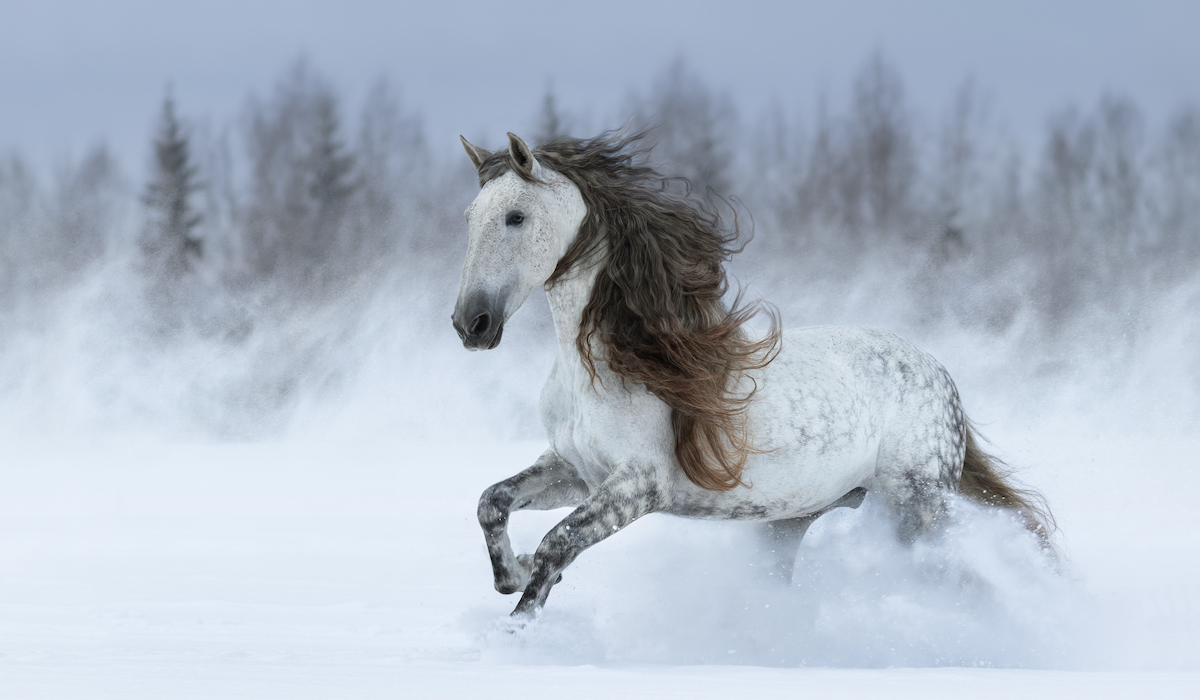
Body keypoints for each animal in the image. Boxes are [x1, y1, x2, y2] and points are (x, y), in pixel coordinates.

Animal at [451, 131, 1053, 618]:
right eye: (469, 217)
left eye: (515, 216)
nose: (470, 323)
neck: (603, 366)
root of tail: (940, 374)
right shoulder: (575, 471)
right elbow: (491, 503)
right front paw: (514, 573)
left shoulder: (639, 485)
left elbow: (558, 543)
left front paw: (521, 628)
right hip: (792, 521)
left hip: (916, 513)